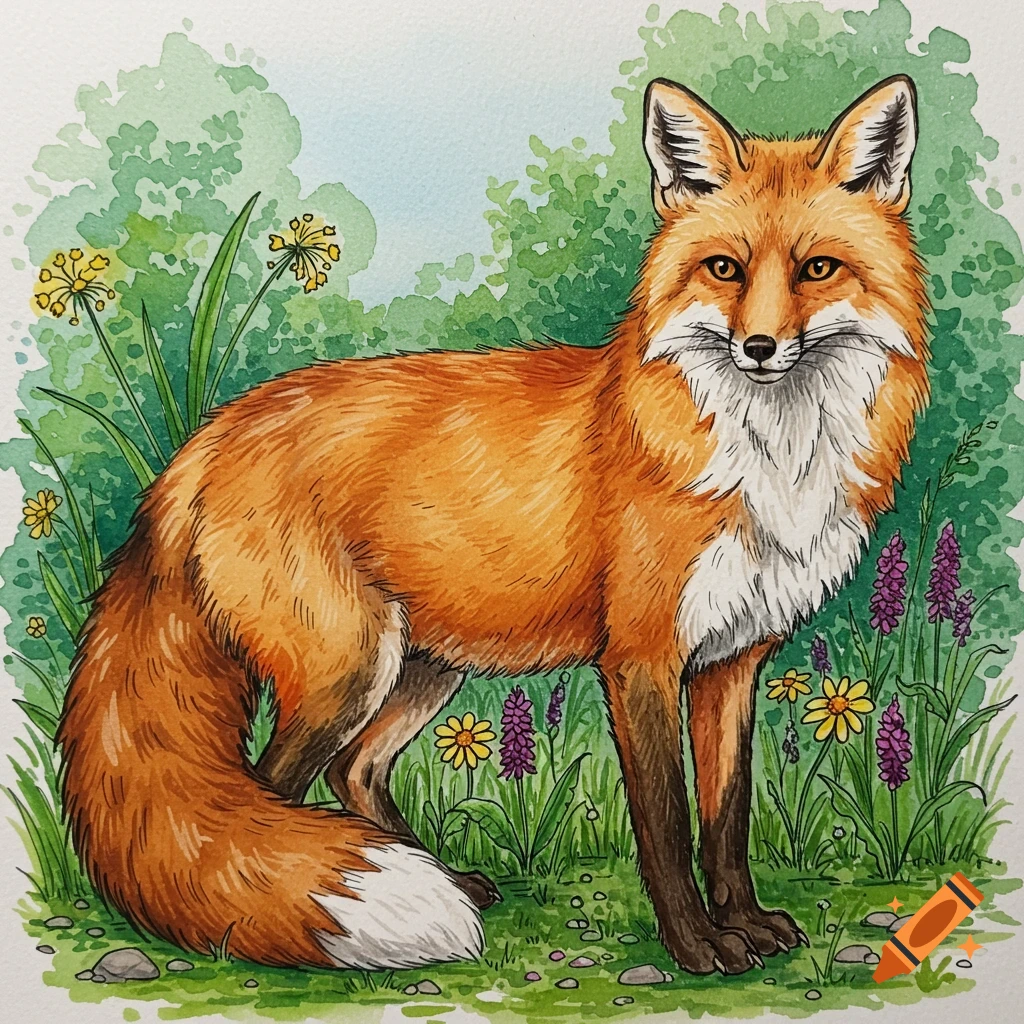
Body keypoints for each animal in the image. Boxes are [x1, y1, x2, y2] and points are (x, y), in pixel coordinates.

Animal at [58, 75, 929, 975]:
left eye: (817, 268)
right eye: (724, 268)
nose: (758, 347)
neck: (772, 463)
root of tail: (205, 440)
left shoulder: (732, 662)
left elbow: (726, 820)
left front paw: (747, 924)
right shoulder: (641, 660)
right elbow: (665, 825)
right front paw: (695, 947)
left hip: (420, 668)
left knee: (353, 772)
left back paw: (441, 878)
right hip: (345, 669)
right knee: (272, 795)